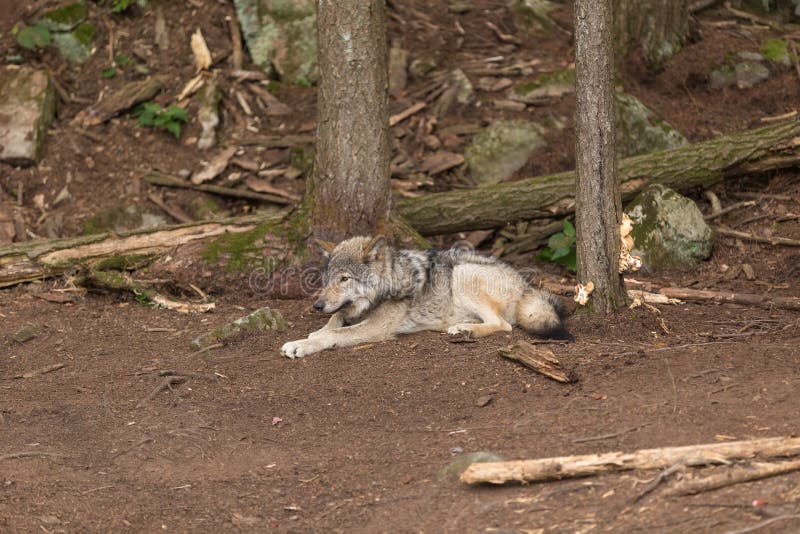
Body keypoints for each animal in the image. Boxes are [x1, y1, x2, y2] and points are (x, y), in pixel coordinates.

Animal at [280, 236, 571, 358]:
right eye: (328, 279)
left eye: (344, 279)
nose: (317, 305)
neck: (389, 281)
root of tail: (526, 285)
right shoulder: (348, 311)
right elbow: (334, 321)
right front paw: (312, 334)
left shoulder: (377, 327)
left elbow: (334, 334)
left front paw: (302, 344)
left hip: (463, 273)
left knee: (503, 325)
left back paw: (465, 330)